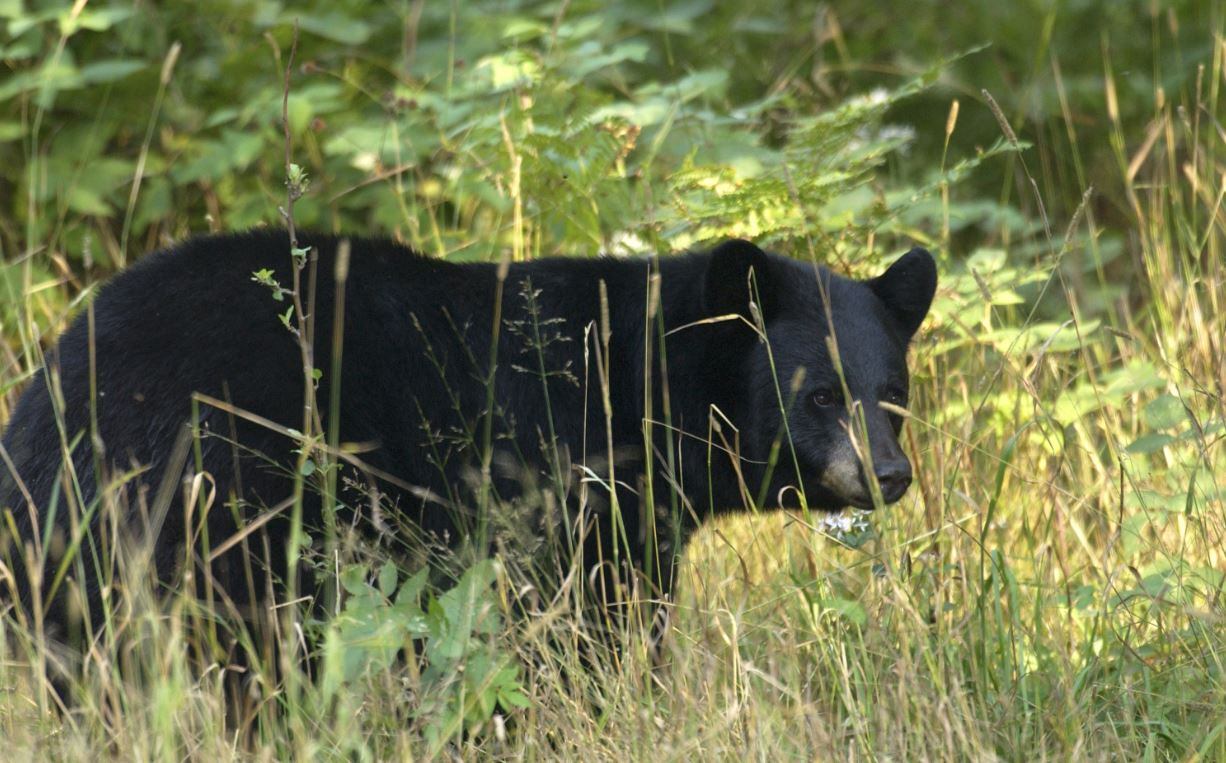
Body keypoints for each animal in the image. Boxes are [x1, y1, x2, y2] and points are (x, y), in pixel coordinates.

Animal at [0, 230, 935, 644]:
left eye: (893, 394)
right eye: (820, 394)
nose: (889, 473)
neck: (636, 381)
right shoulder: (567, 484)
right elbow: (582, 617)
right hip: (213, 503)